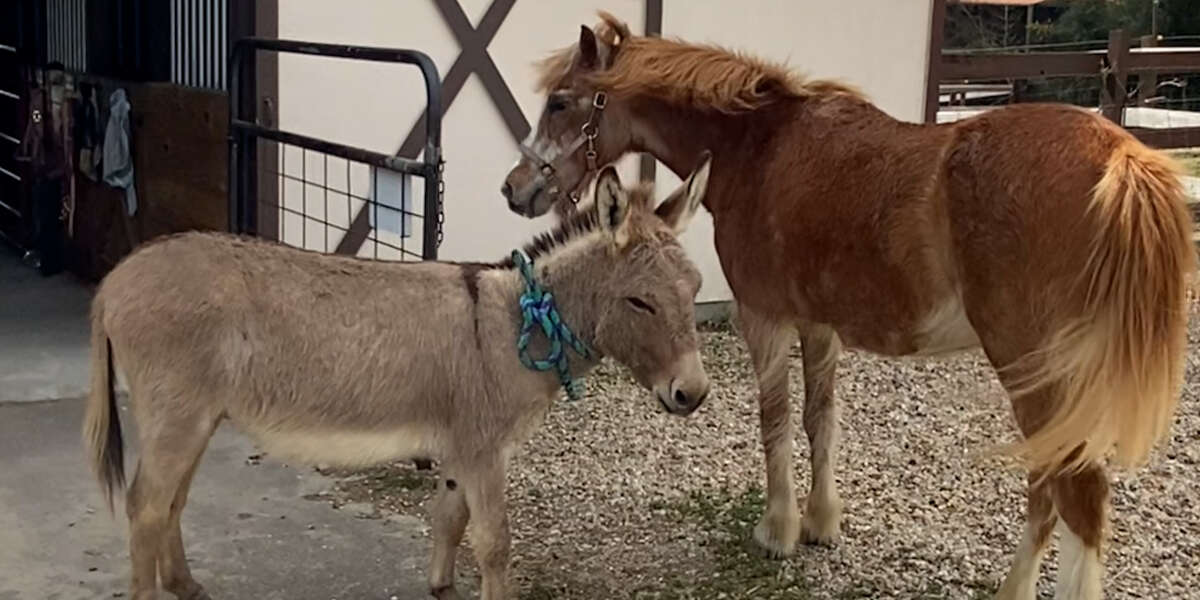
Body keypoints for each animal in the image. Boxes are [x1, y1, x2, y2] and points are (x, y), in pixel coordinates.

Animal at [83, 160, 714, 600]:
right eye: (639, 302)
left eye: (696, 286)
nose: (693, 393)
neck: (521, 324)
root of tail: (115, 278)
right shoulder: (483, 448)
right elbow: (495, 543)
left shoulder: (462, 449)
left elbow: (450, 520)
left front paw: (441, 586)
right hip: (176, 415)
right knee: (145, 506)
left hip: (198, 417)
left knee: (171, 499)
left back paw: (185, 585)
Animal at [500, 13, 1195, 600]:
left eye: (560, 102)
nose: (514, 188)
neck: (760, 144)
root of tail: (1122, 161)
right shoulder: (820, 326)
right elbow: (820, 421)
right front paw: (819, 522)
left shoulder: (765, 317)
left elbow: (776, 420)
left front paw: (777, 529)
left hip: (1038, 373)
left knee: (1076, 493)